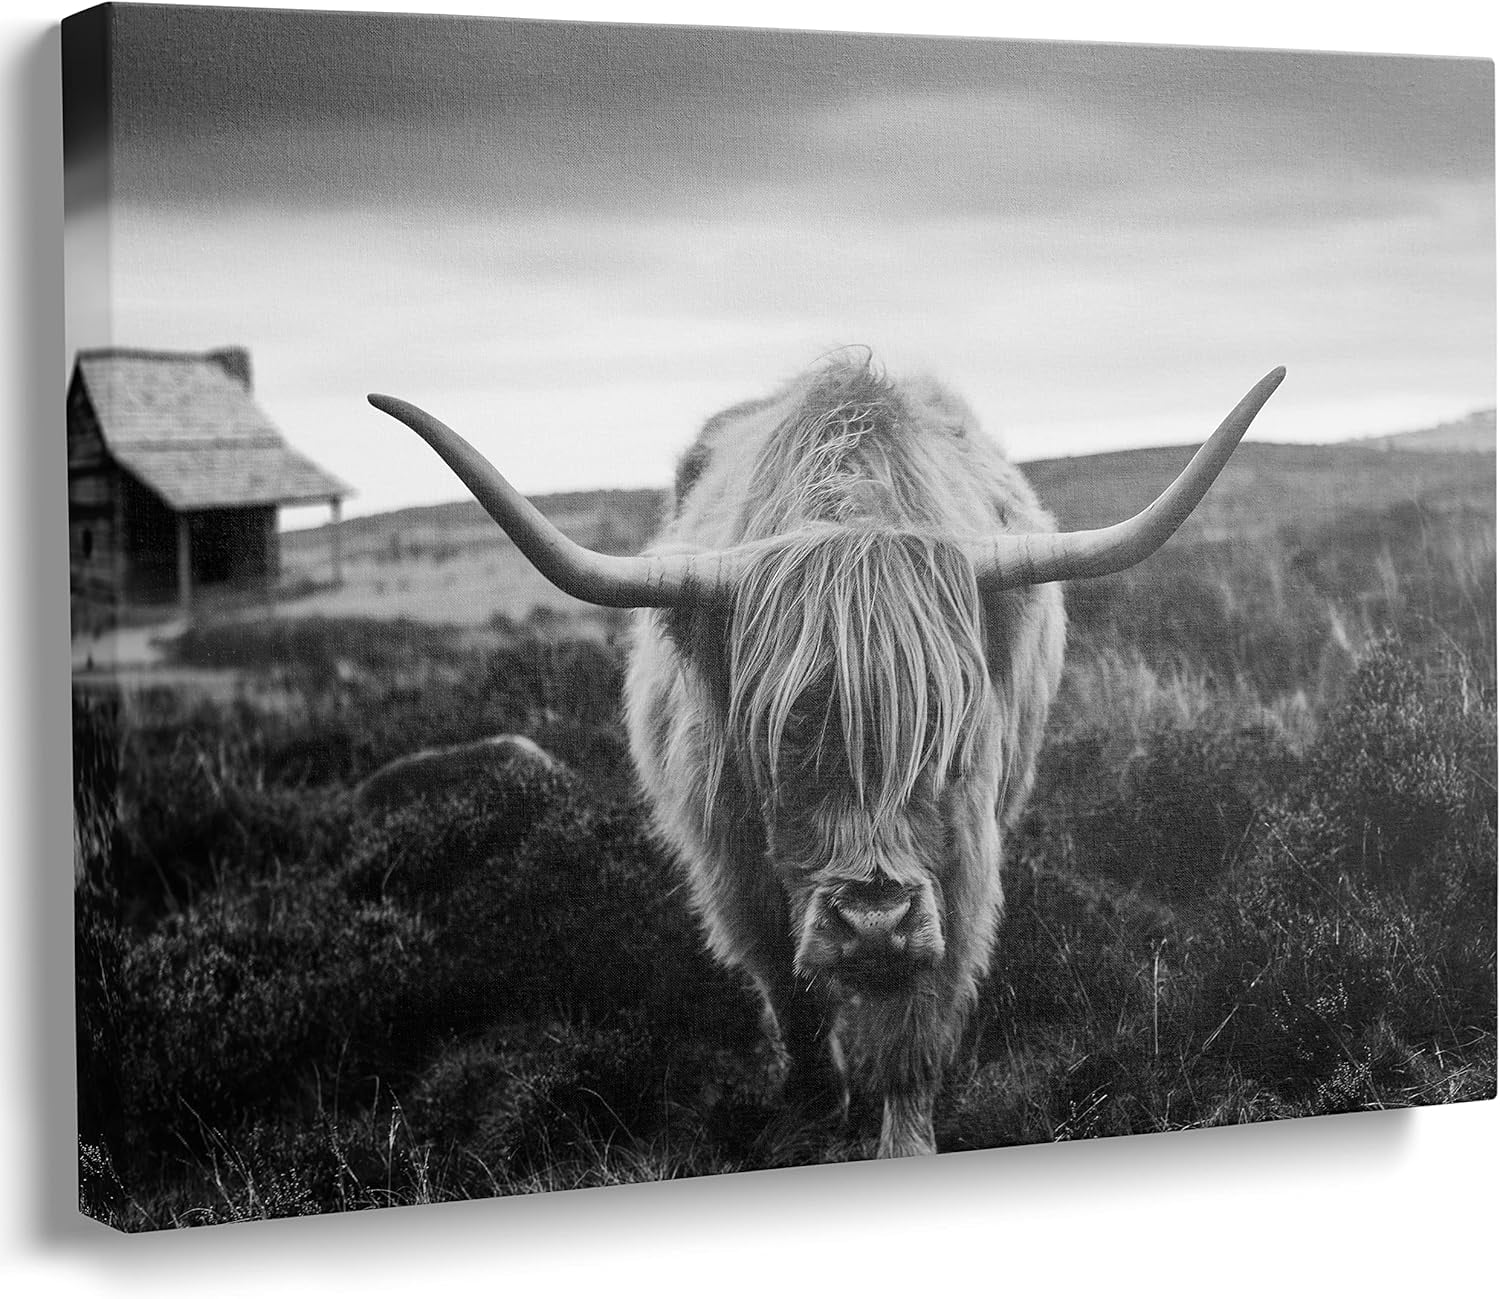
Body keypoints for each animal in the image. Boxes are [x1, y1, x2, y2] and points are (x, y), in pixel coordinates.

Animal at [369, 353, 1284, 1158]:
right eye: (786, 739)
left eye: (944, 733)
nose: (872, 920)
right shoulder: (734, 869)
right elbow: (790, 995)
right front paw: (807, 1119)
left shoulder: (960, 868)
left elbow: (919, 1018)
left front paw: (904, 1138)